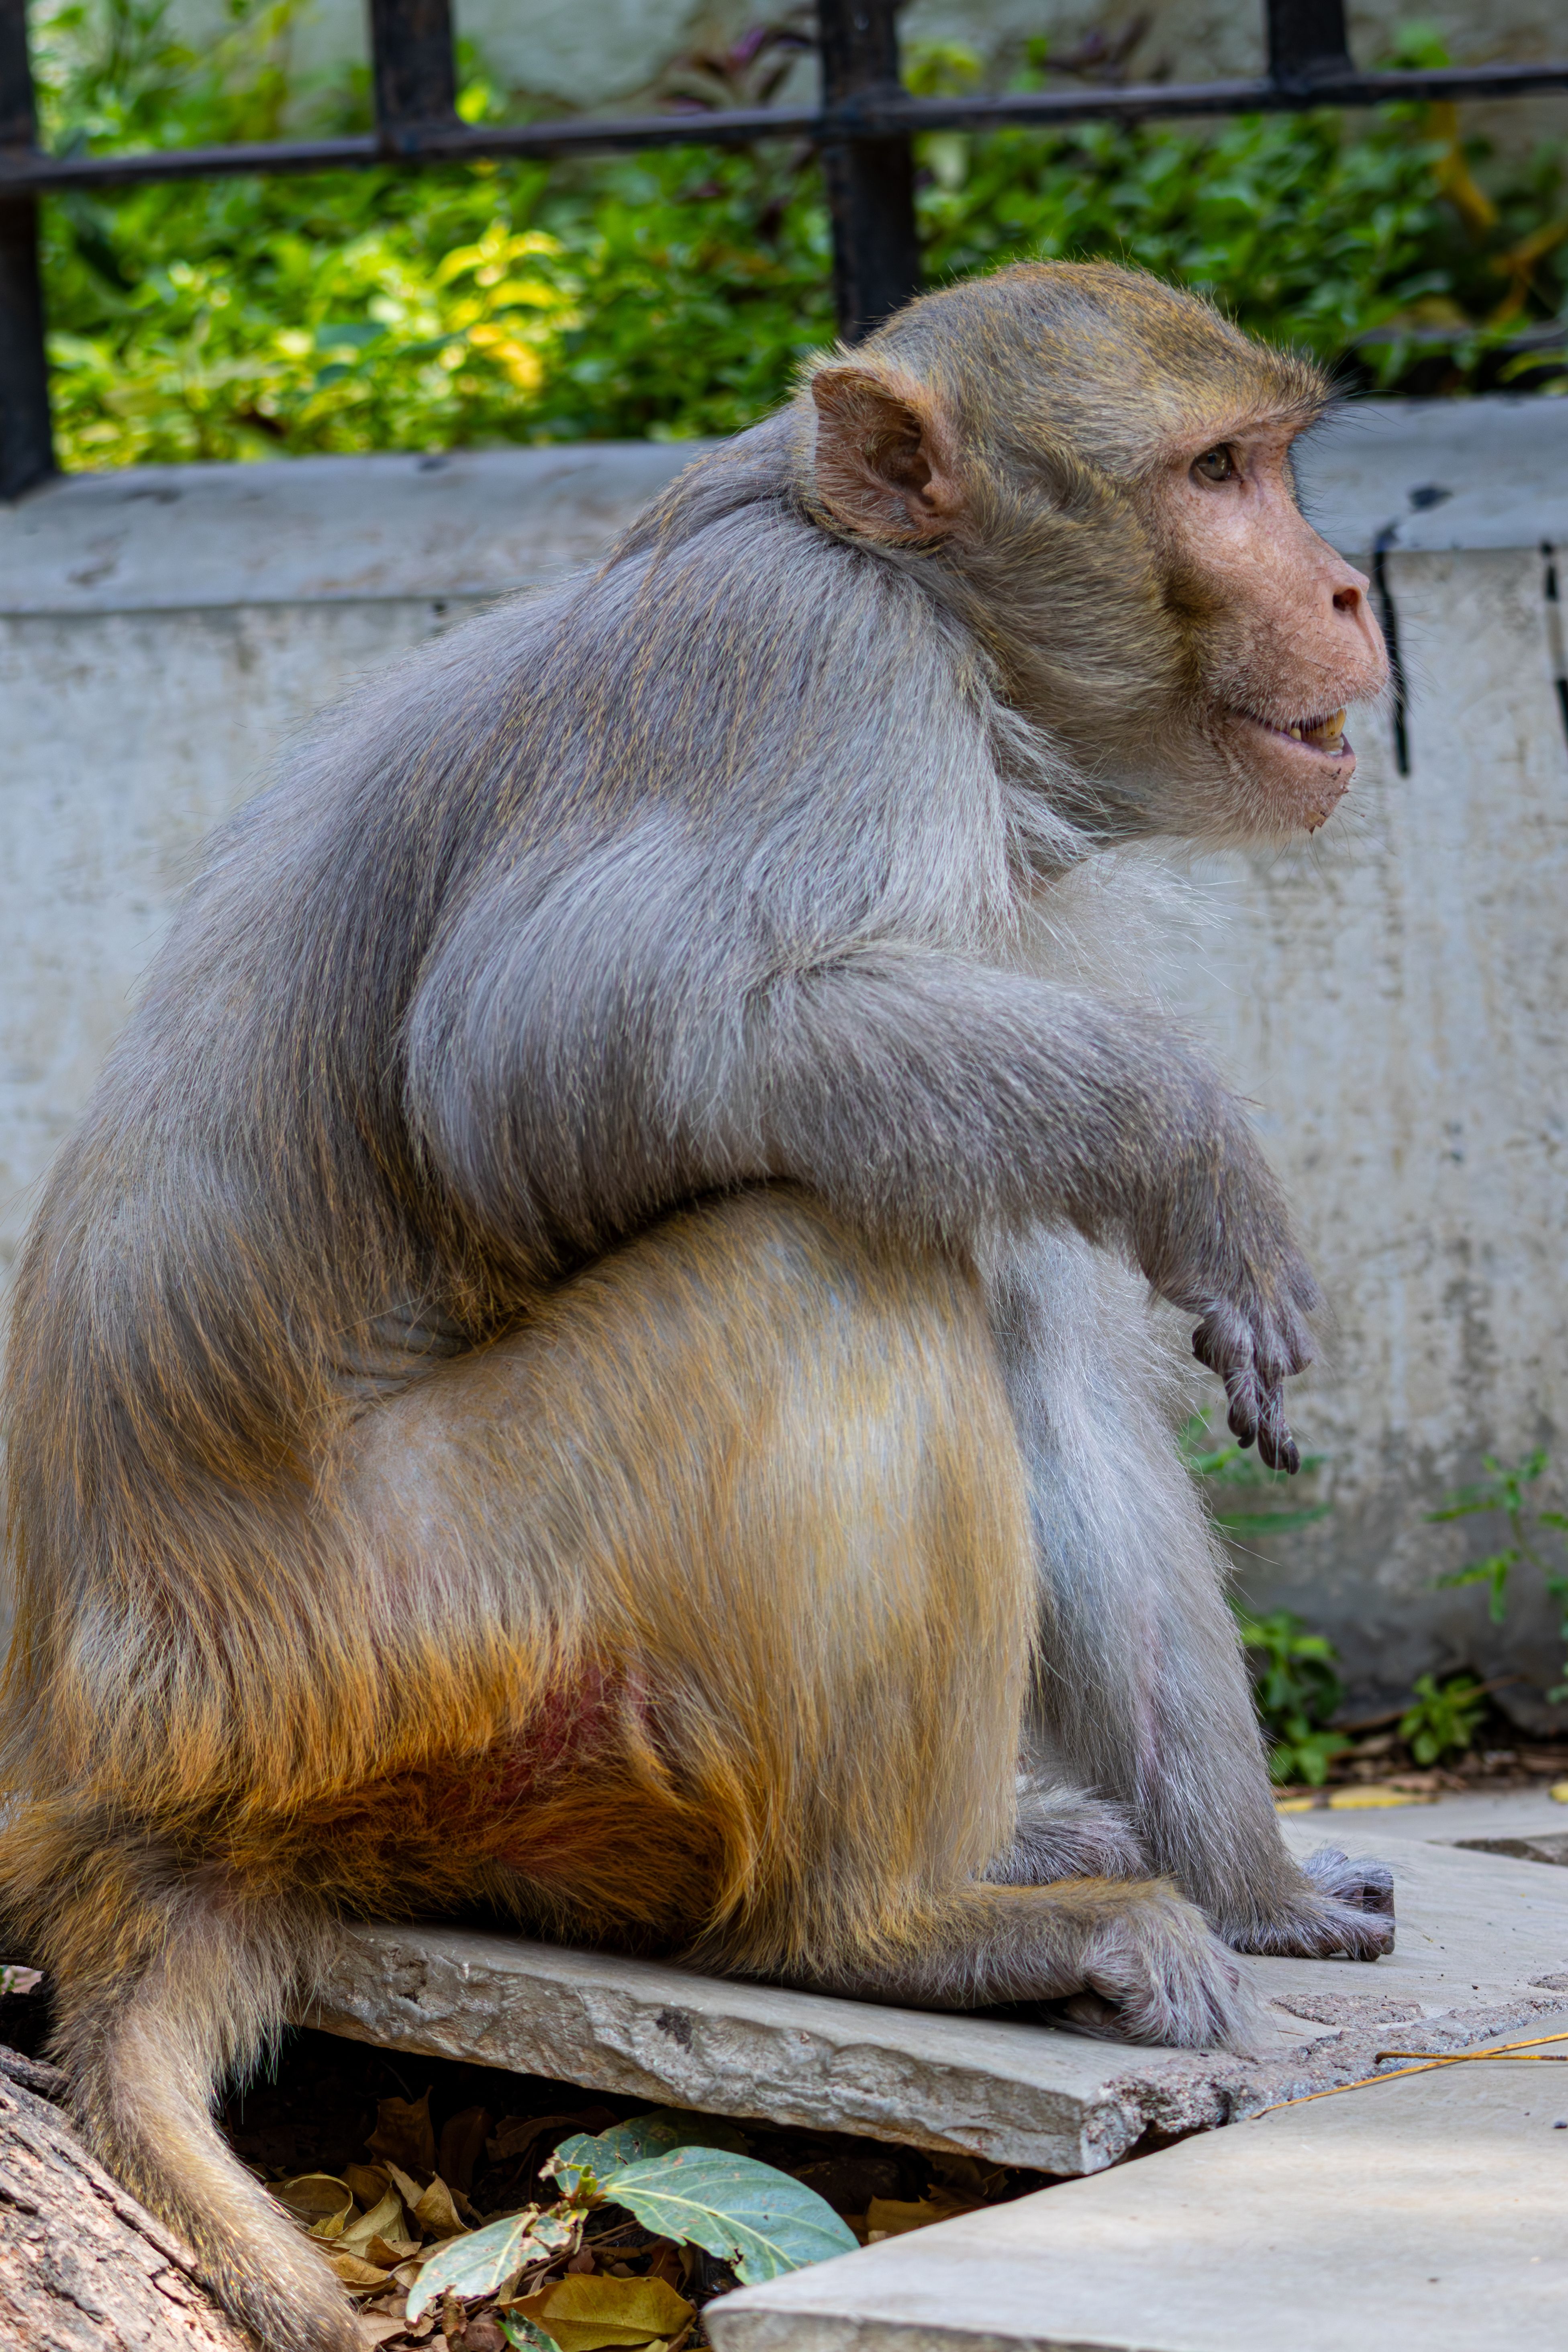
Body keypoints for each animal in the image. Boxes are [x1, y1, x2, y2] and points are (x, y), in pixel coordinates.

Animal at [1, 261, 1395, 2352]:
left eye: (1272, 460)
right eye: (1216, 473)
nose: (1344, 590)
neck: (940, 637)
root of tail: (133, 1785)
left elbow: (1044, 1341)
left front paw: (1257, 1883)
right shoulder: (808, 672)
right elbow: (558, 1064)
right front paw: (1187, 1139)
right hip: (418, 1640)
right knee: (821, 1255)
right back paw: (893, 1927)